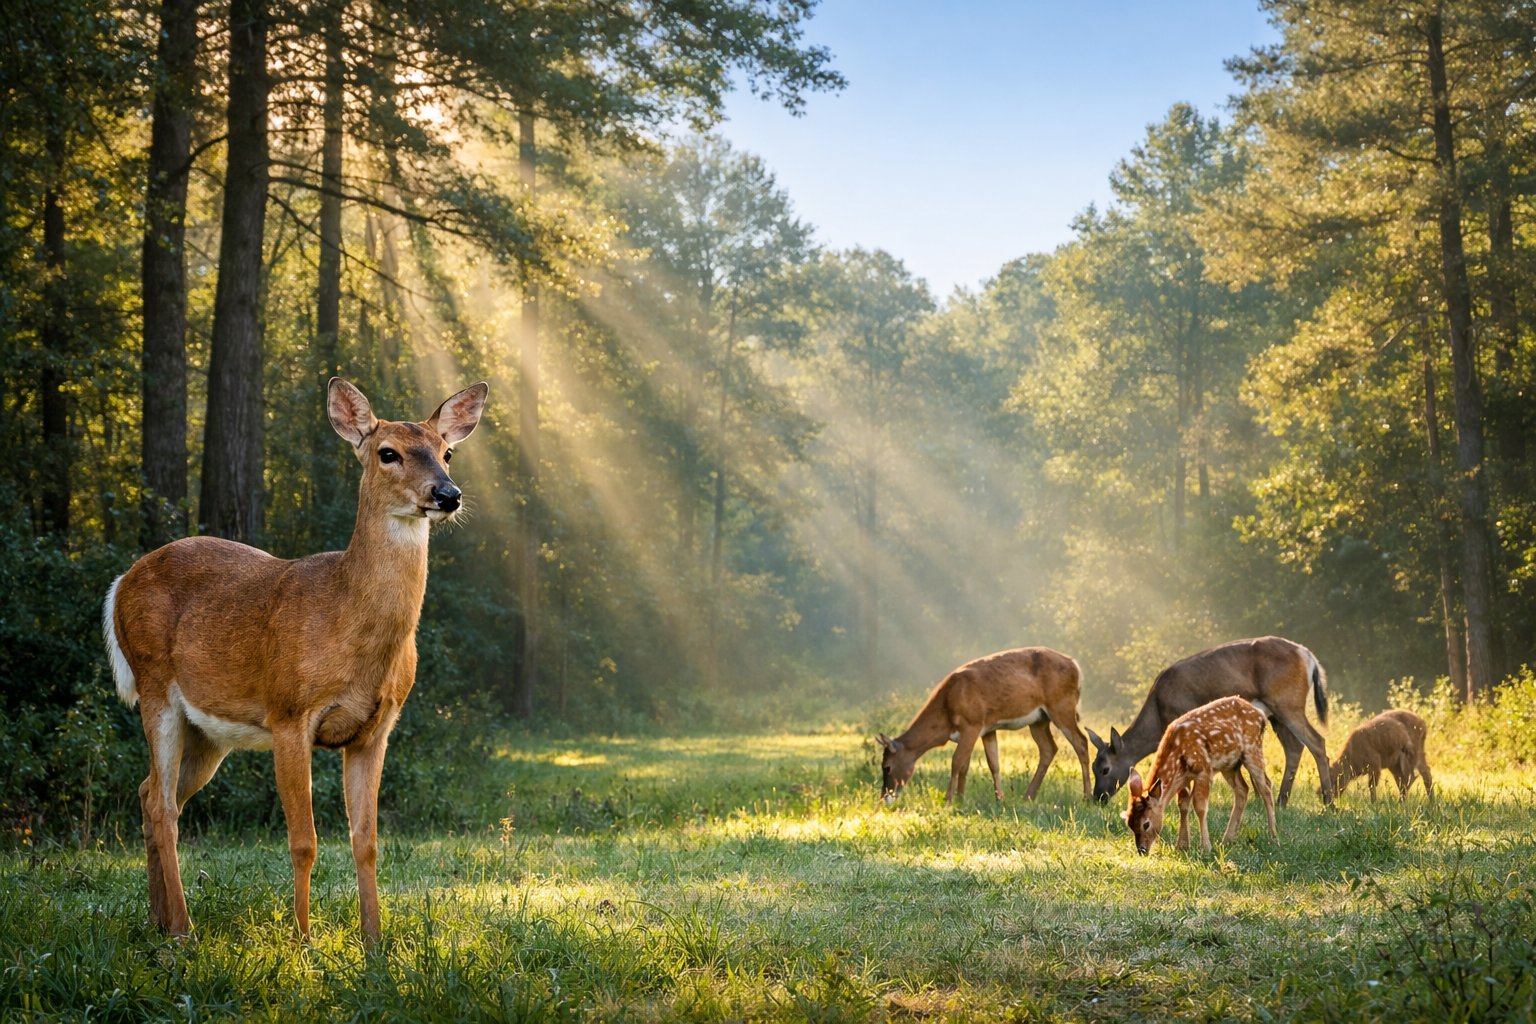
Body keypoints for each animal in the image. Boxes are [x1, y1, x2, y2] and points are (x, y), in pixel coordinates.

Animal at [102, 377, 487, 946]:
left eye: (447, 453)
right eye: (387, 453)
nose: (447, 494)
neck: (347, 621)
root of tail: (119, 583)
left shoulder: (377, 729)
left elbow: (367, 841)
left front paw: (374, 943)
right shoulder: (288, 714)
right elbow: (303, 841)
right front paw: (303, 941)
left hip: (209, 733)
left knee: (150, 791)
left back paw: (159, 921)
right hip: (155, 686)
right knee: (163, 805)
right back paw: (184, 930)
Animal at [876, 646, 1092, 805]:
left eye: (887, 767)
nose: (884, 798)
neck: (947, 712)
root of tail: (1075, 665)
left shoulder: (972, 723)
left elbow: (956, 761)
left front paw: (949, 800)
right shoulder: (986, 729)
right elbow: (986, 764)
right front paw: (984, 799)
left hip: (1062, 706)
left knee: (1081, 742)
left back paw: (1087, 797)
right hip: (1039, 720)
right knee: (1049, 748)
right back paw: (1027, 796)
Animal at [1088, 636, 1333, 807]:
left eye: (1105, 769)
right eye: (1093, 767)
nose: (1097, 797)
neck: (1158, 715)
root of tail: (1308, 656)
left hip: (1287, 702)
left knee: (1317, 741)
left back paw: (1328, 802)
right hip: (1276, 713)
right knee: (1295, 747)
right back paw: (1282, 801)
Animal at [1123, 696, 1278, 855]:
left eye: (1146, 824)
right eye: (1129, 823)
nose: (1142, 850)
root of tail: (1261, 715)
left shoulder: (1203, 769)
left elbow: (1200, 806)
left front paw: (1205, 847)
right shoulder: (1184, 777)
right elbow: (1183, 805)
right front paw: (1182, 845)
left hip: (1253, 748)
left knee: (1266, 787)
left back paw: (1273, 838)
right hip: (1230, 765)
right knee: (1242, 788)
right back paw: (1227, 840)